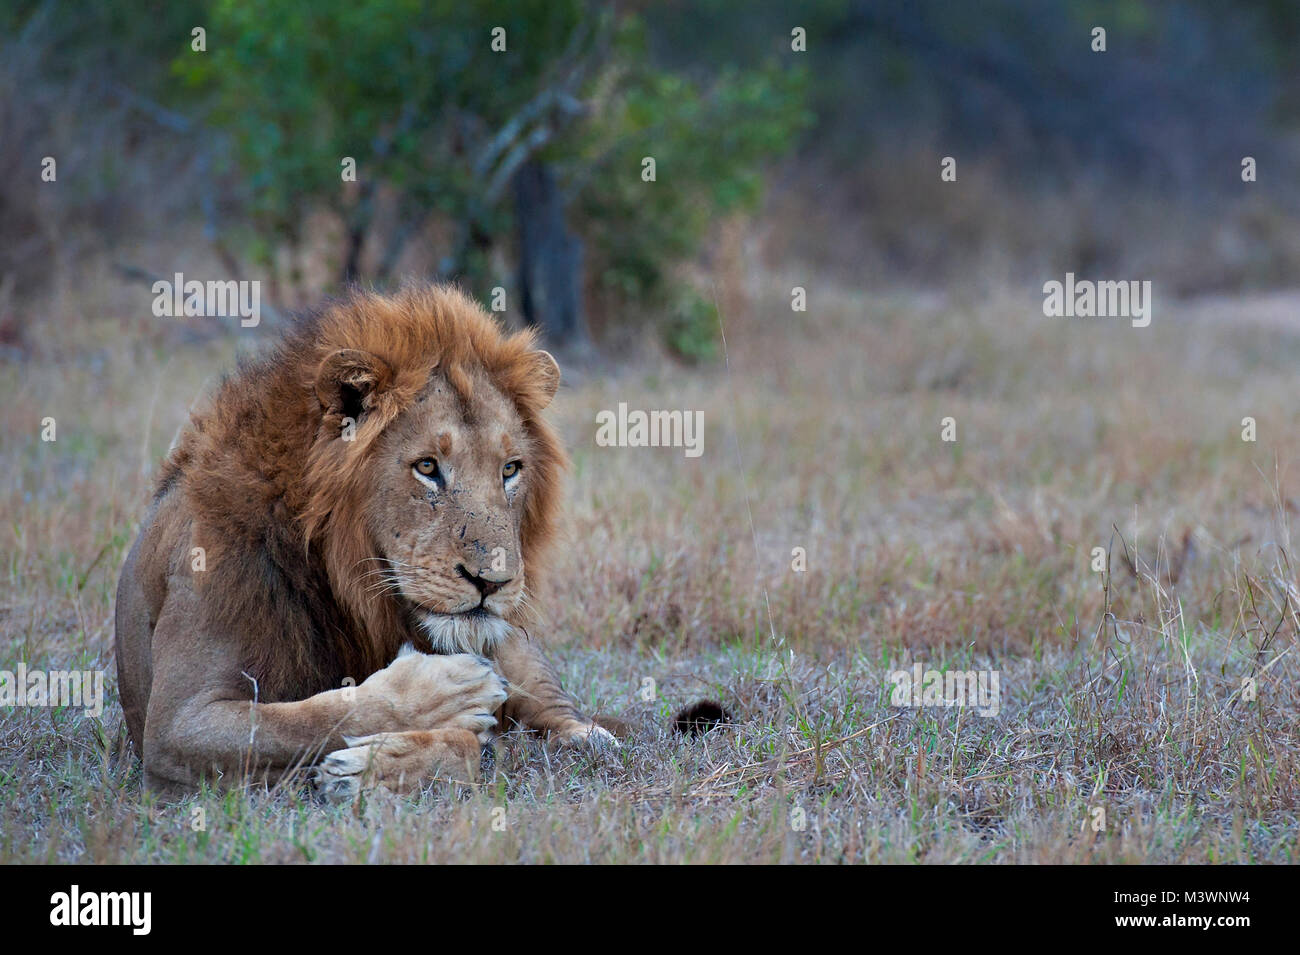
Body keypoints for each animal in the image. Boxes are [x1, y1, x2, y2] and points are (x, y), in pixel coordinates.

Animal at [114, 284, 615, 801]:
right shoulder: (176, 725)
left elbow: (468, 747)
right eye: (428, 467)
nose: (492, 582)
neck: (337, 573)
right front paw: (440, 694)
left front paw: (373, 764)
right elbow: (304, 719)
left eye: (510, 469)